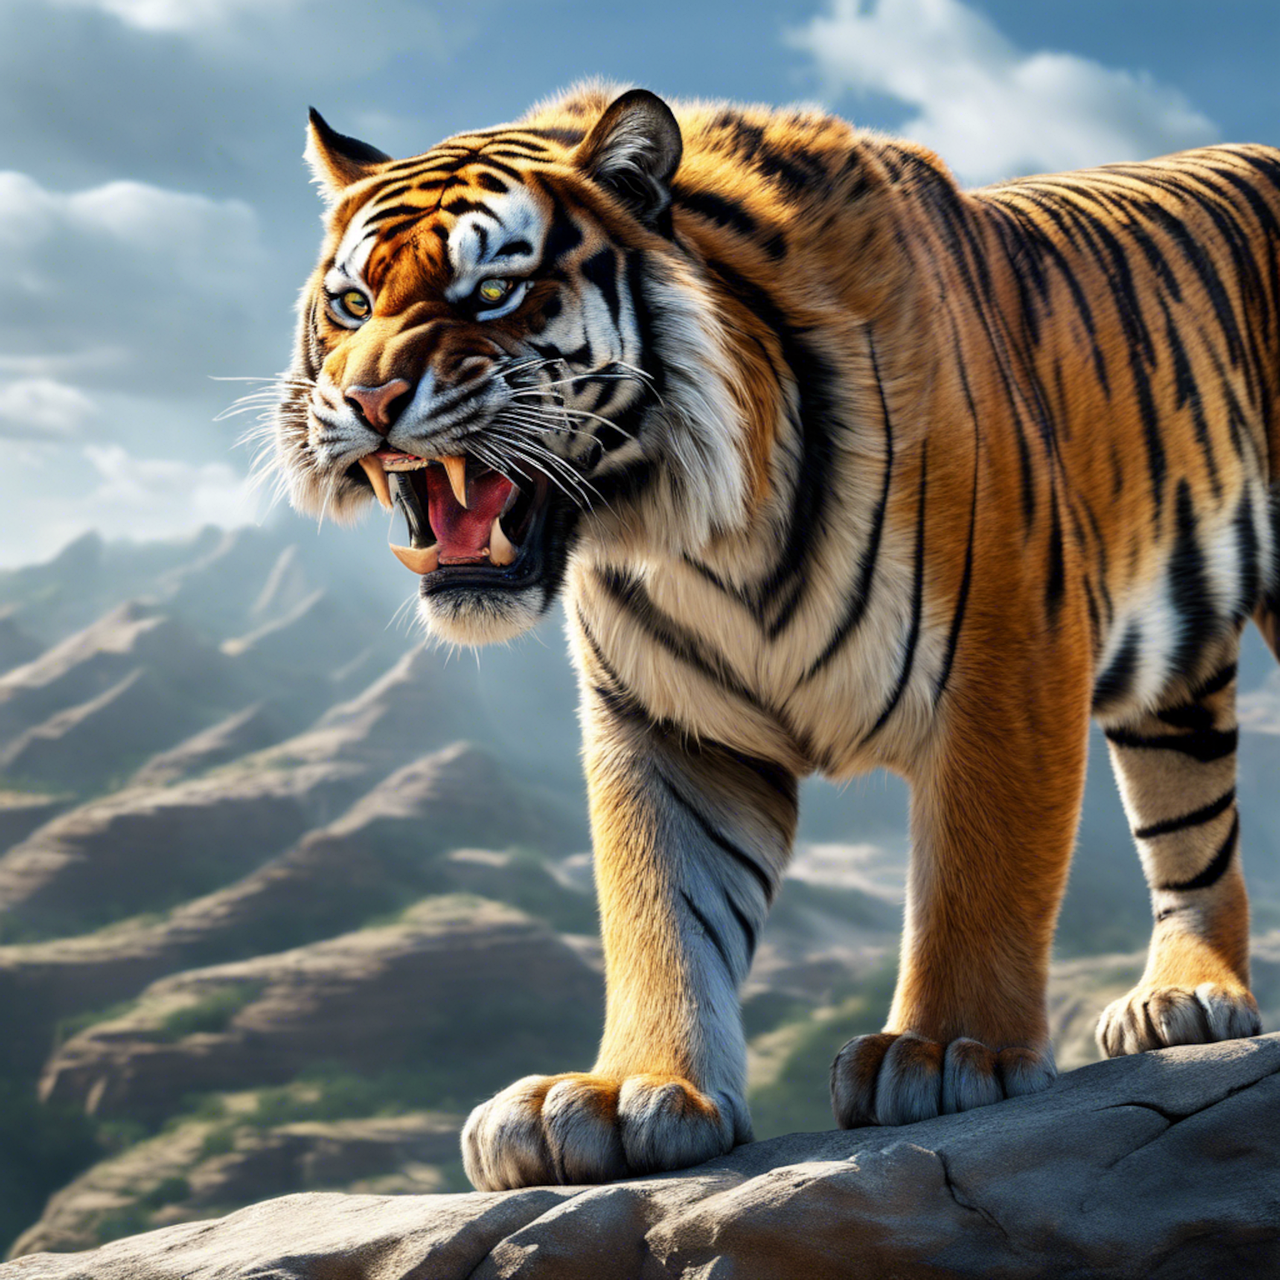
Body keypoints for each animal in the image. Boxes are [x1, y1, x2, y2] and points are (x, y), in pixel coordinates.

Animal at [272, 81, 1280, 1191]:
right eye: (352, 304)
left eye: (493, 290)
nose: (367, 400)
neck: (699, 526)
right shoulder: (670, 726)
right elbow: (660, 909)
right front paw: (627, 1092)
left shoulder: (1006, 655)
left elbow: (978, 872)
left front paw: (943, 1051)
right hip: (1172, 672)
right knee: (1191, 821)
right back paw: (1184, 999)